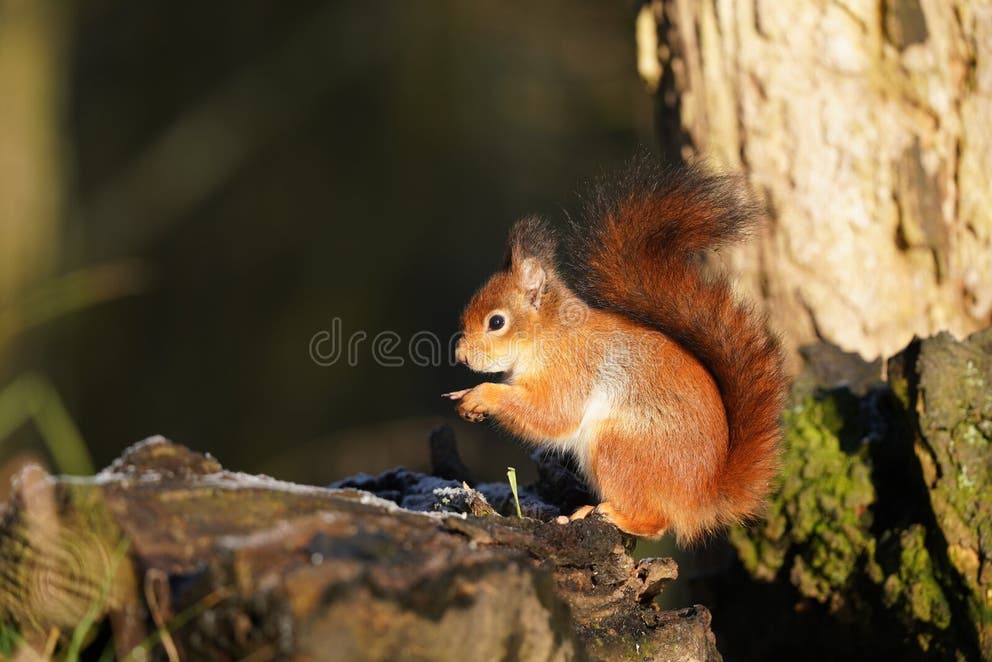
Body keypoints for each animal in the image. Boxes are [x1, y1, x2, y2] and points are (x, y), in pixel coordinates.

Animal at [444, 159, 787, 543]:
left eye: (497, 322)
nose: (461, 356)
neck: (549, 334)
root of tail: (701, 497)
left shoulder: (571, 370)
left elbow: (553, 414)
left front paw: (481, 394)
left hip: (618, 448)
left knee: (656, 522)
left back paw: (612, 515)